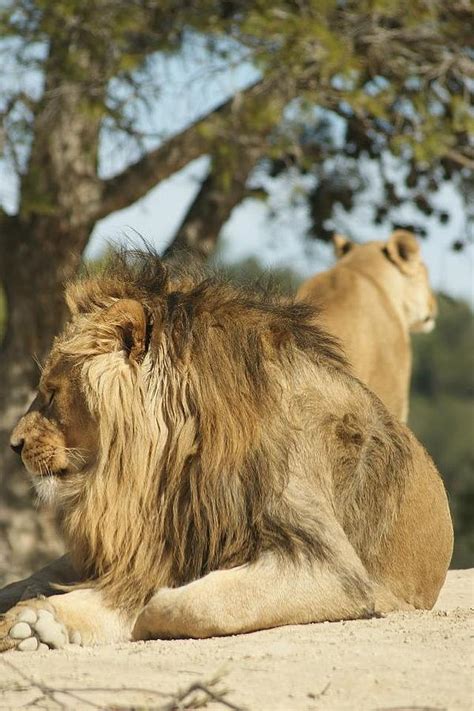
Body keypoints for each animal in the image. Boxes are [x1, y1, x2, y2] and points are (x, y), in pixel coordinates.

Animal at [0, 252, 452, 651]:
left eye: (52, 392)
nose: (14, 445)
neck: (169, 469)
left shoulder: (331, 567)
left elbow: (174, 603)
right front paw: (40, 623)